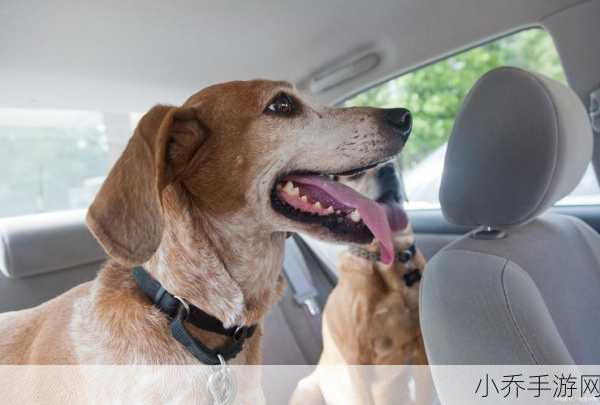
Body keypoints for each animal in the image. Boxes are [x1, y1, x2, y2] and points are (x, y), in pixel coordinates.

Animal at [290, 162, 434, 404]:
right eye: (354, 174)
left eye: (393, 163)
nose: (389, 168)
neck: (386, 258)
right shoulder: (357, 361)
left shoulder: (421, 343)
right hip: (306, 389)